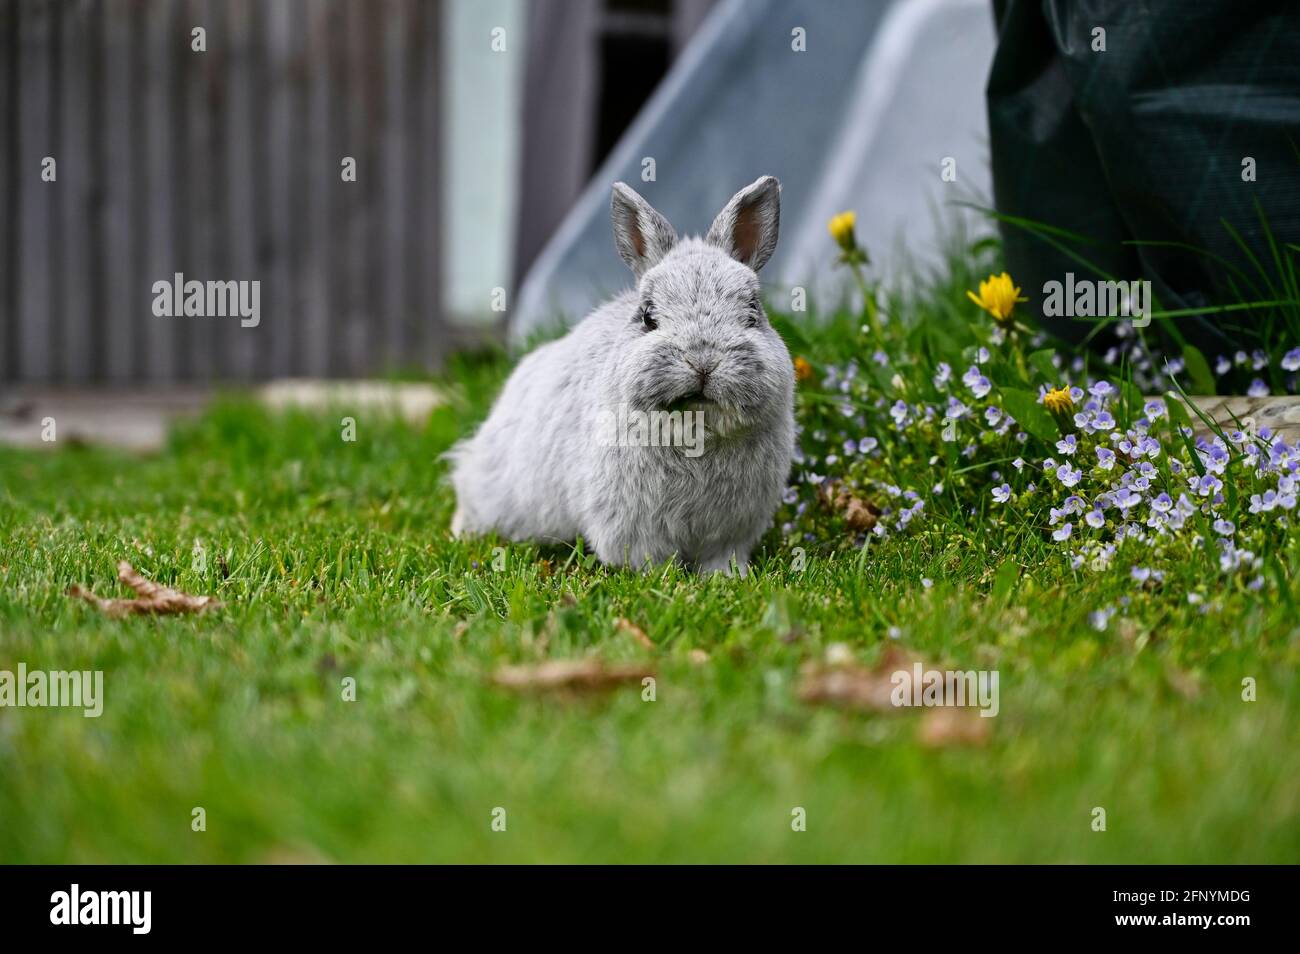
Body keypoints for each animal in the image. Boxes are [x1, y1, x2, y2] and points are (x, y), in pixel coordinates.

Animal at [448, 176, 795, 575]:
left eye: (753, 312)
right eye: (648, 317)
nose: (702, 360)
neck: (698, 432)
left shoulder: (732, 532)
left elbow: (721, 558)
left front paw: (724, 580)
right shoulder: (633, 524)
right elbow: (647, 558)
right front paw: (659, 578)